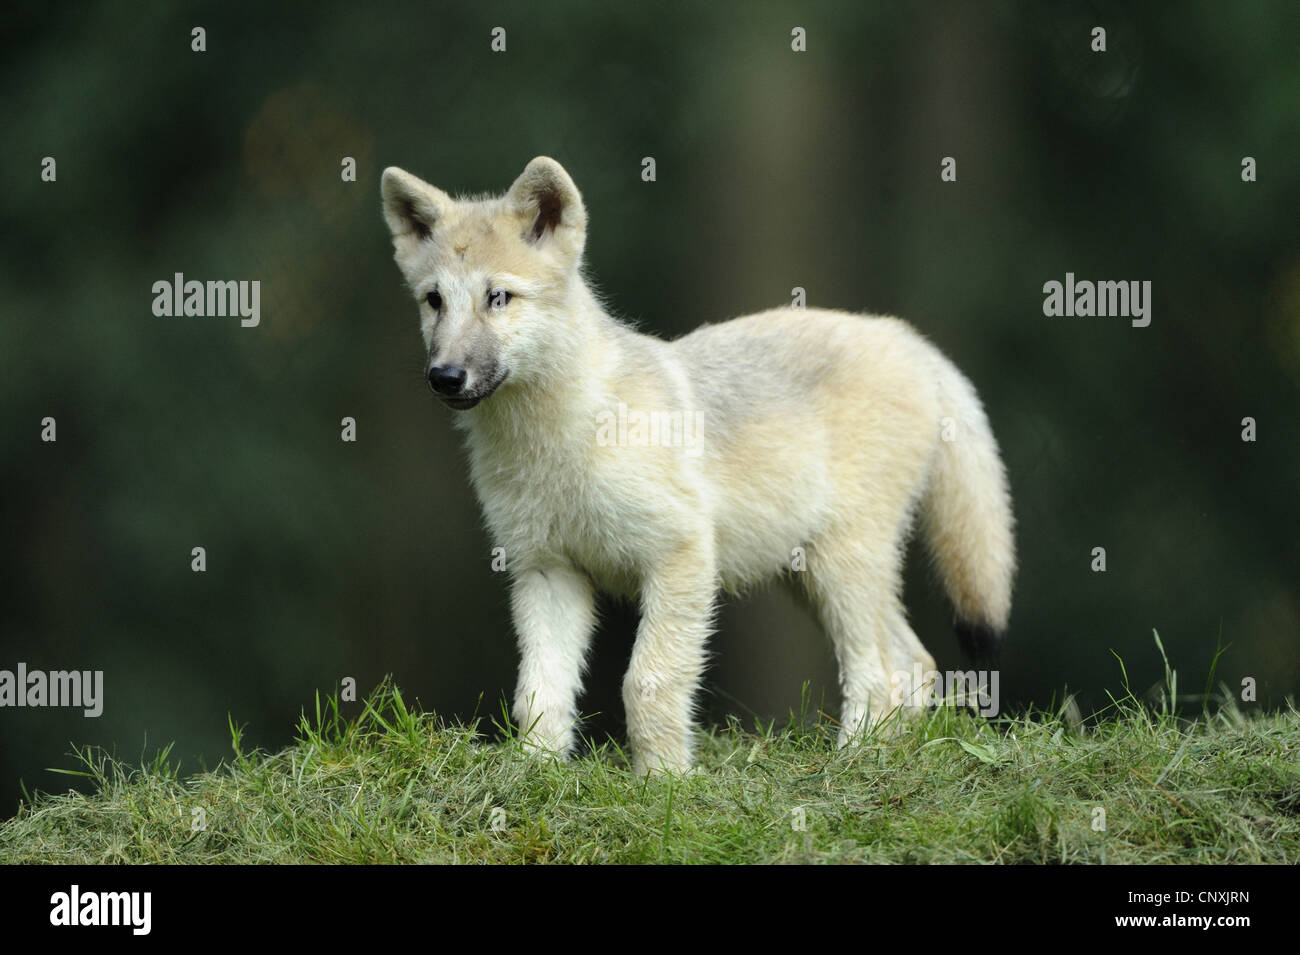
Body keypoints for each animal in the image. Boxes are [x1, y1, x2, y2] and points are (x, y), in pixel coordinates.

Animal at [381, 157, 1015, 775]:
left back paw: (852, 765)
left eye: (499, 298)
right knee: (916, 662)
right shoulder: (548, 571)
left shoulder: (680, 557)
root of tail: (909, 339)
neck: (560, 443)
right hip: (808, 576)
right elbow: (538, 694)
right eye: (434, 301)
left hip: (842, 566)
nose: (445, 377)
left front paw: (662, 783)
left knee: (881, 671)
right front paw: (535, 774)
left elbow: (647, 683)